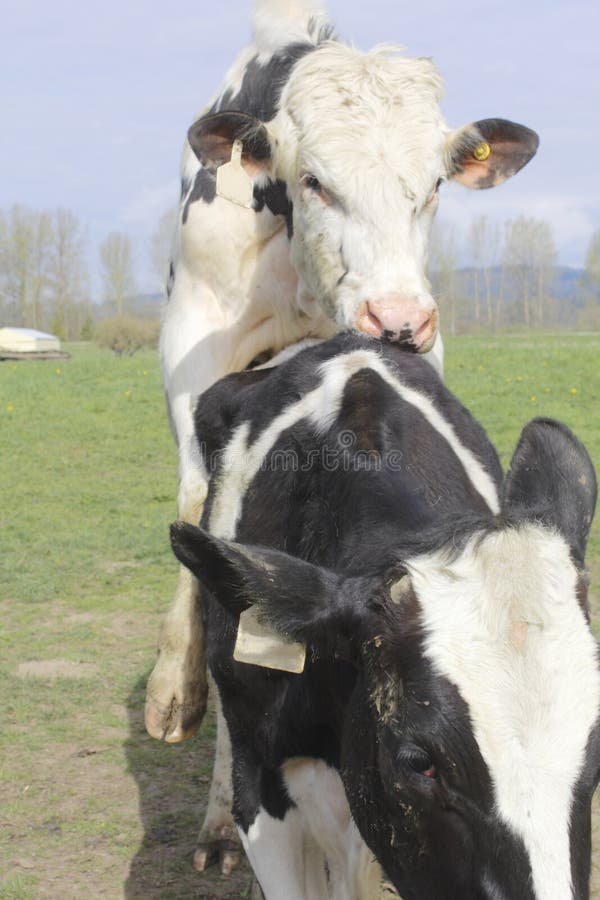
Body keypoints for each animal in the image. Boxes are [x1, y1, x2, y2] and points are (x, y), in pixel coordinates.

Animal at [146, 0, 539, 870]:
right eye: (315, 180)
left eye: (433, 186)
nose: (396, 319)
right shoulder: (197, 343)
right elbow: (197, 508)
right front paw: (174, 689)